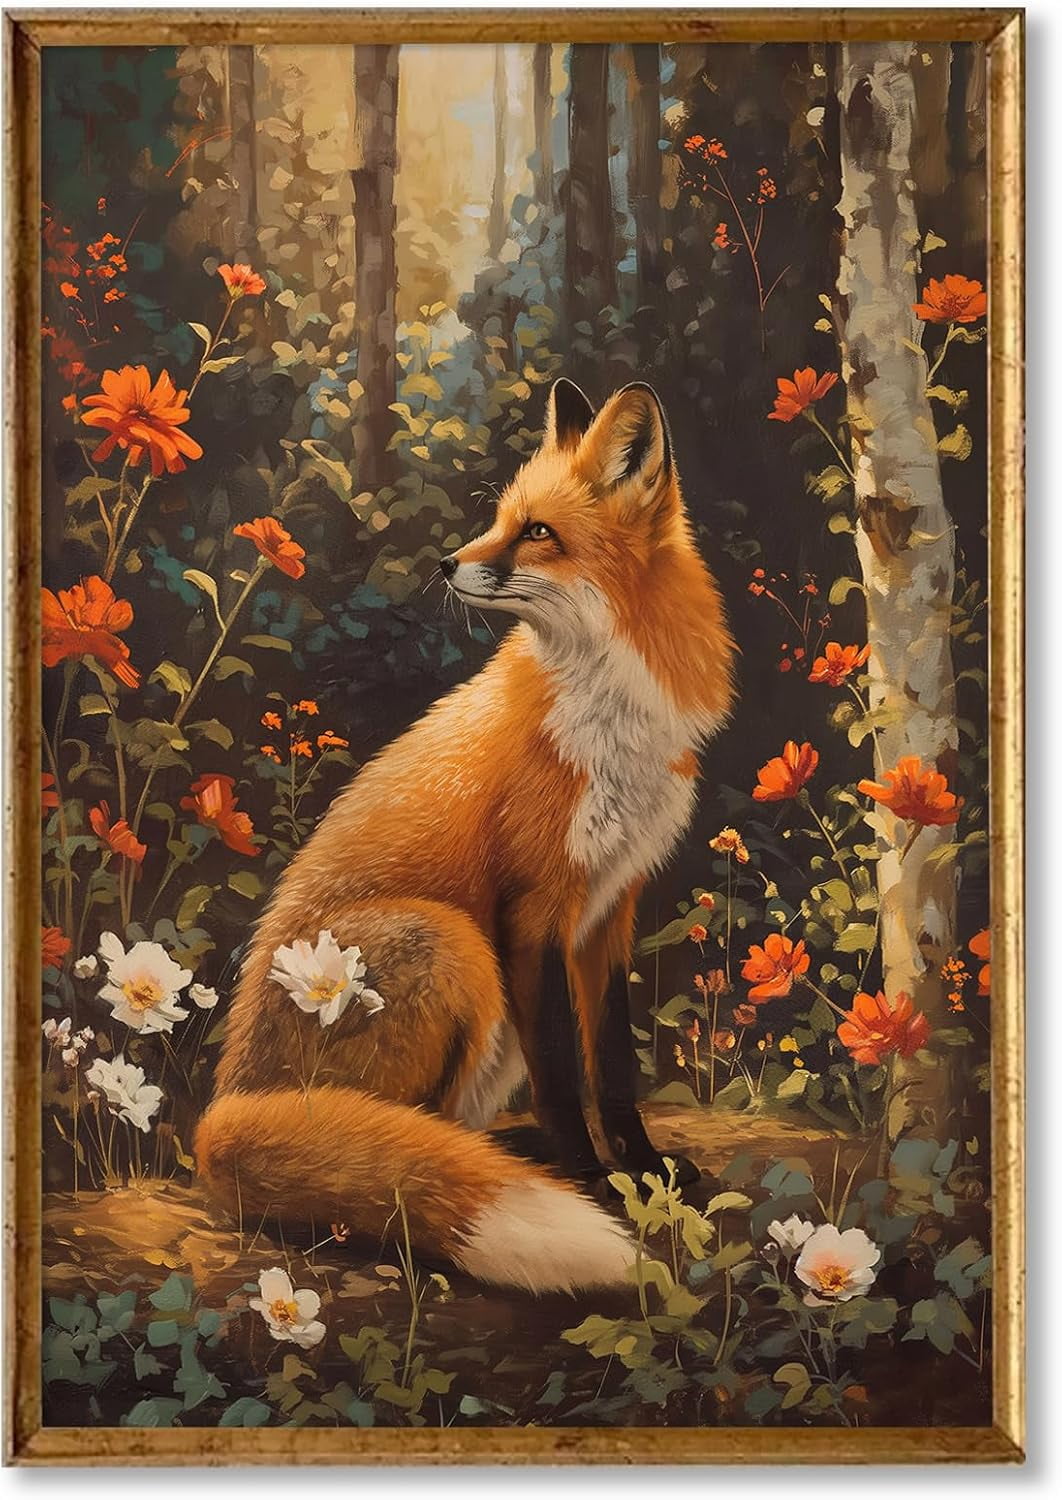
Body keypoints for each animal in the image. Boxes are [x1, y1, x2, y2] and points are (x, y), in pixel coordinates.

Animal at [195, 379, 735, 1295]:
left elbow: (611, 1066)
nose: (447, 565)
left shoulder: (610, 907)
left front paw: (639, 1165)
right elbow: (563, 1075)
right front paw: (589, 1176)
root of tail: (226, 1104)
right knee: (409, 1128)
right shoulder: (534, 909)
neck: (608, 714)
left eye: (538, 531)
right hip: (453, 944)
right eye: (501, 519)